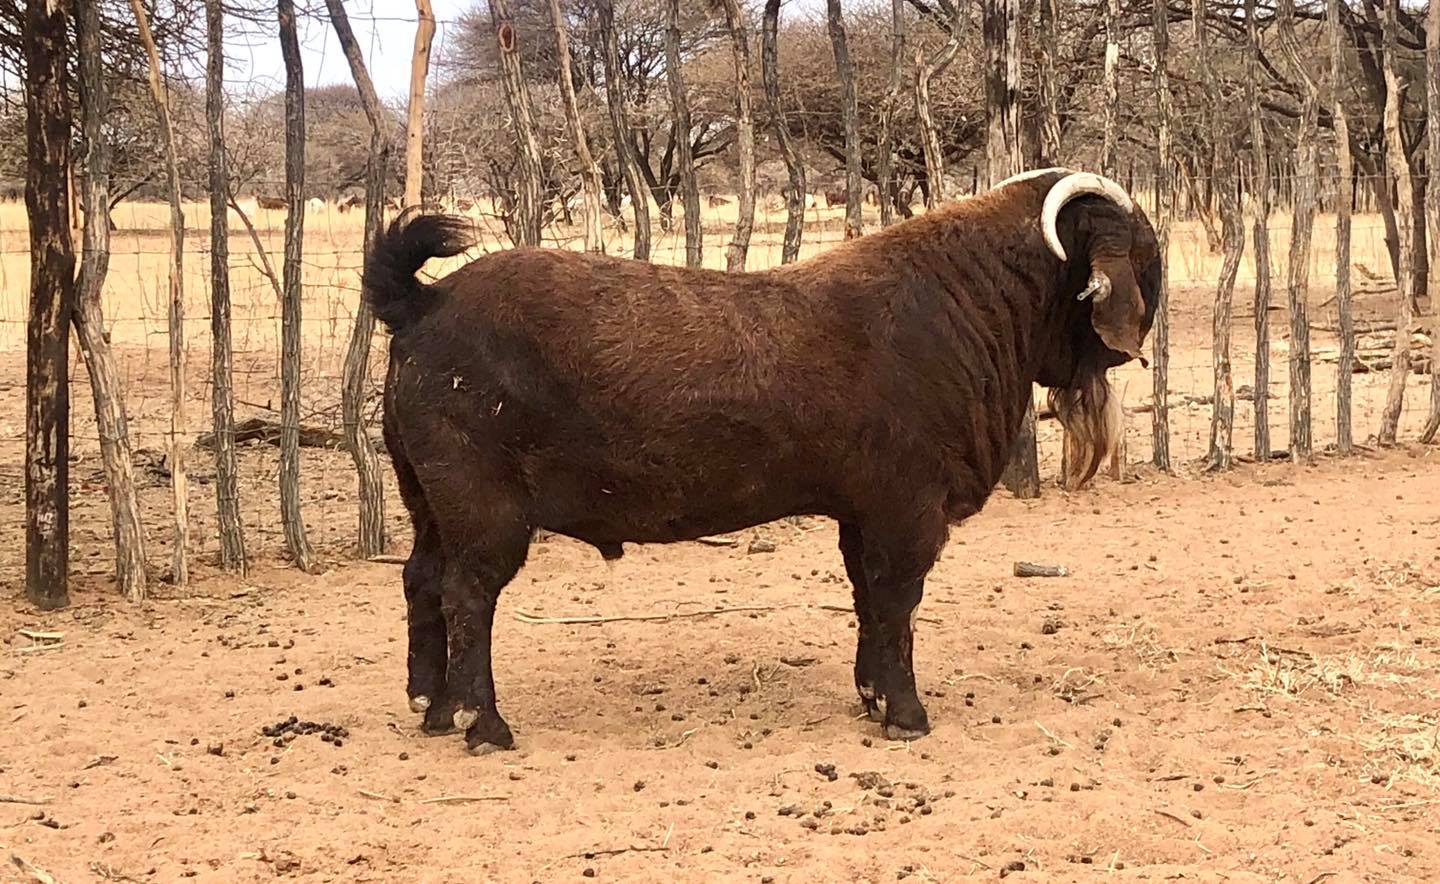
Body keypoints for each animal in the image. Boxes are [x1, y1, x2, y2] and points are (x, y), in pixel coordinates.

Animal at [368, 167, 1161, 755]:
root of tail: (422, 302)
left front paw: (872, 695)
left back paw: (433, 707)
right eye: (1146, 257)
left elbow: (868, 599)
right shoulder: (906, 510)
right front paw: (906, 713)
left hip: (429, 504)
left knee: (420, 581)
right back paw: (484, 724)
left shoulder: (861, 514)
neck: (960, 301)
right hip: (483, 511)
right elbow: (896, 600)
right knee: (468, 595)